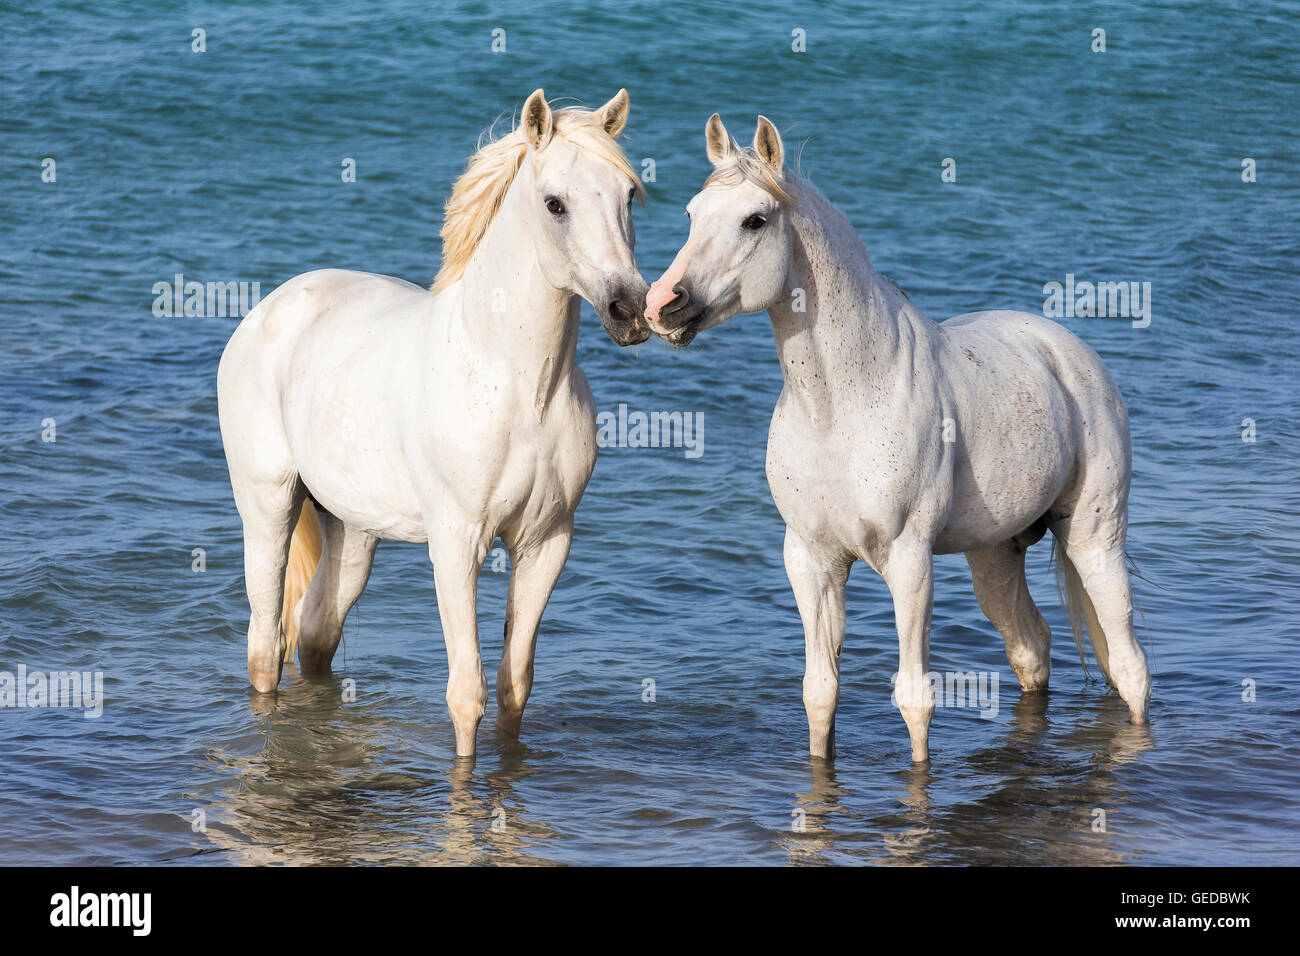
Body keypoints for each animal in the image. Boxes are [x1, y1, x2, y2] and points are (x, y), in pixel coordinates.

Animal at [217, 89, 650, 757]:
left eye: (627, 195)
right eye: (555, 203)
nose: (630, 310)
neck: (519, 391)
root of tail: (269, 309)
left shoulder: (546, 542)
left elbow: (513, 687)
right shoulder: (456, 543)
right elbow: (466, 692)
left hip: (353, 529)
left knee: (315, 633)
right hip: (267, 506)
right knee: (266, 643)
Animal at [644, 113, 1151, 763]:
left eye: (754, 219)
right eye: (691, 213)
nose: (663, 305)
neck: (840, 408)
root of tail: (1071, 354)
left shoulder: (909, 561)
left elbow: (915, 699)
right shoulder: (810, 560)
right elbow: (820, 693)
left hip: (1093, 538)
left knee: (1130, 665)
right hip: (995, 555)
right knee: (1031, 648)